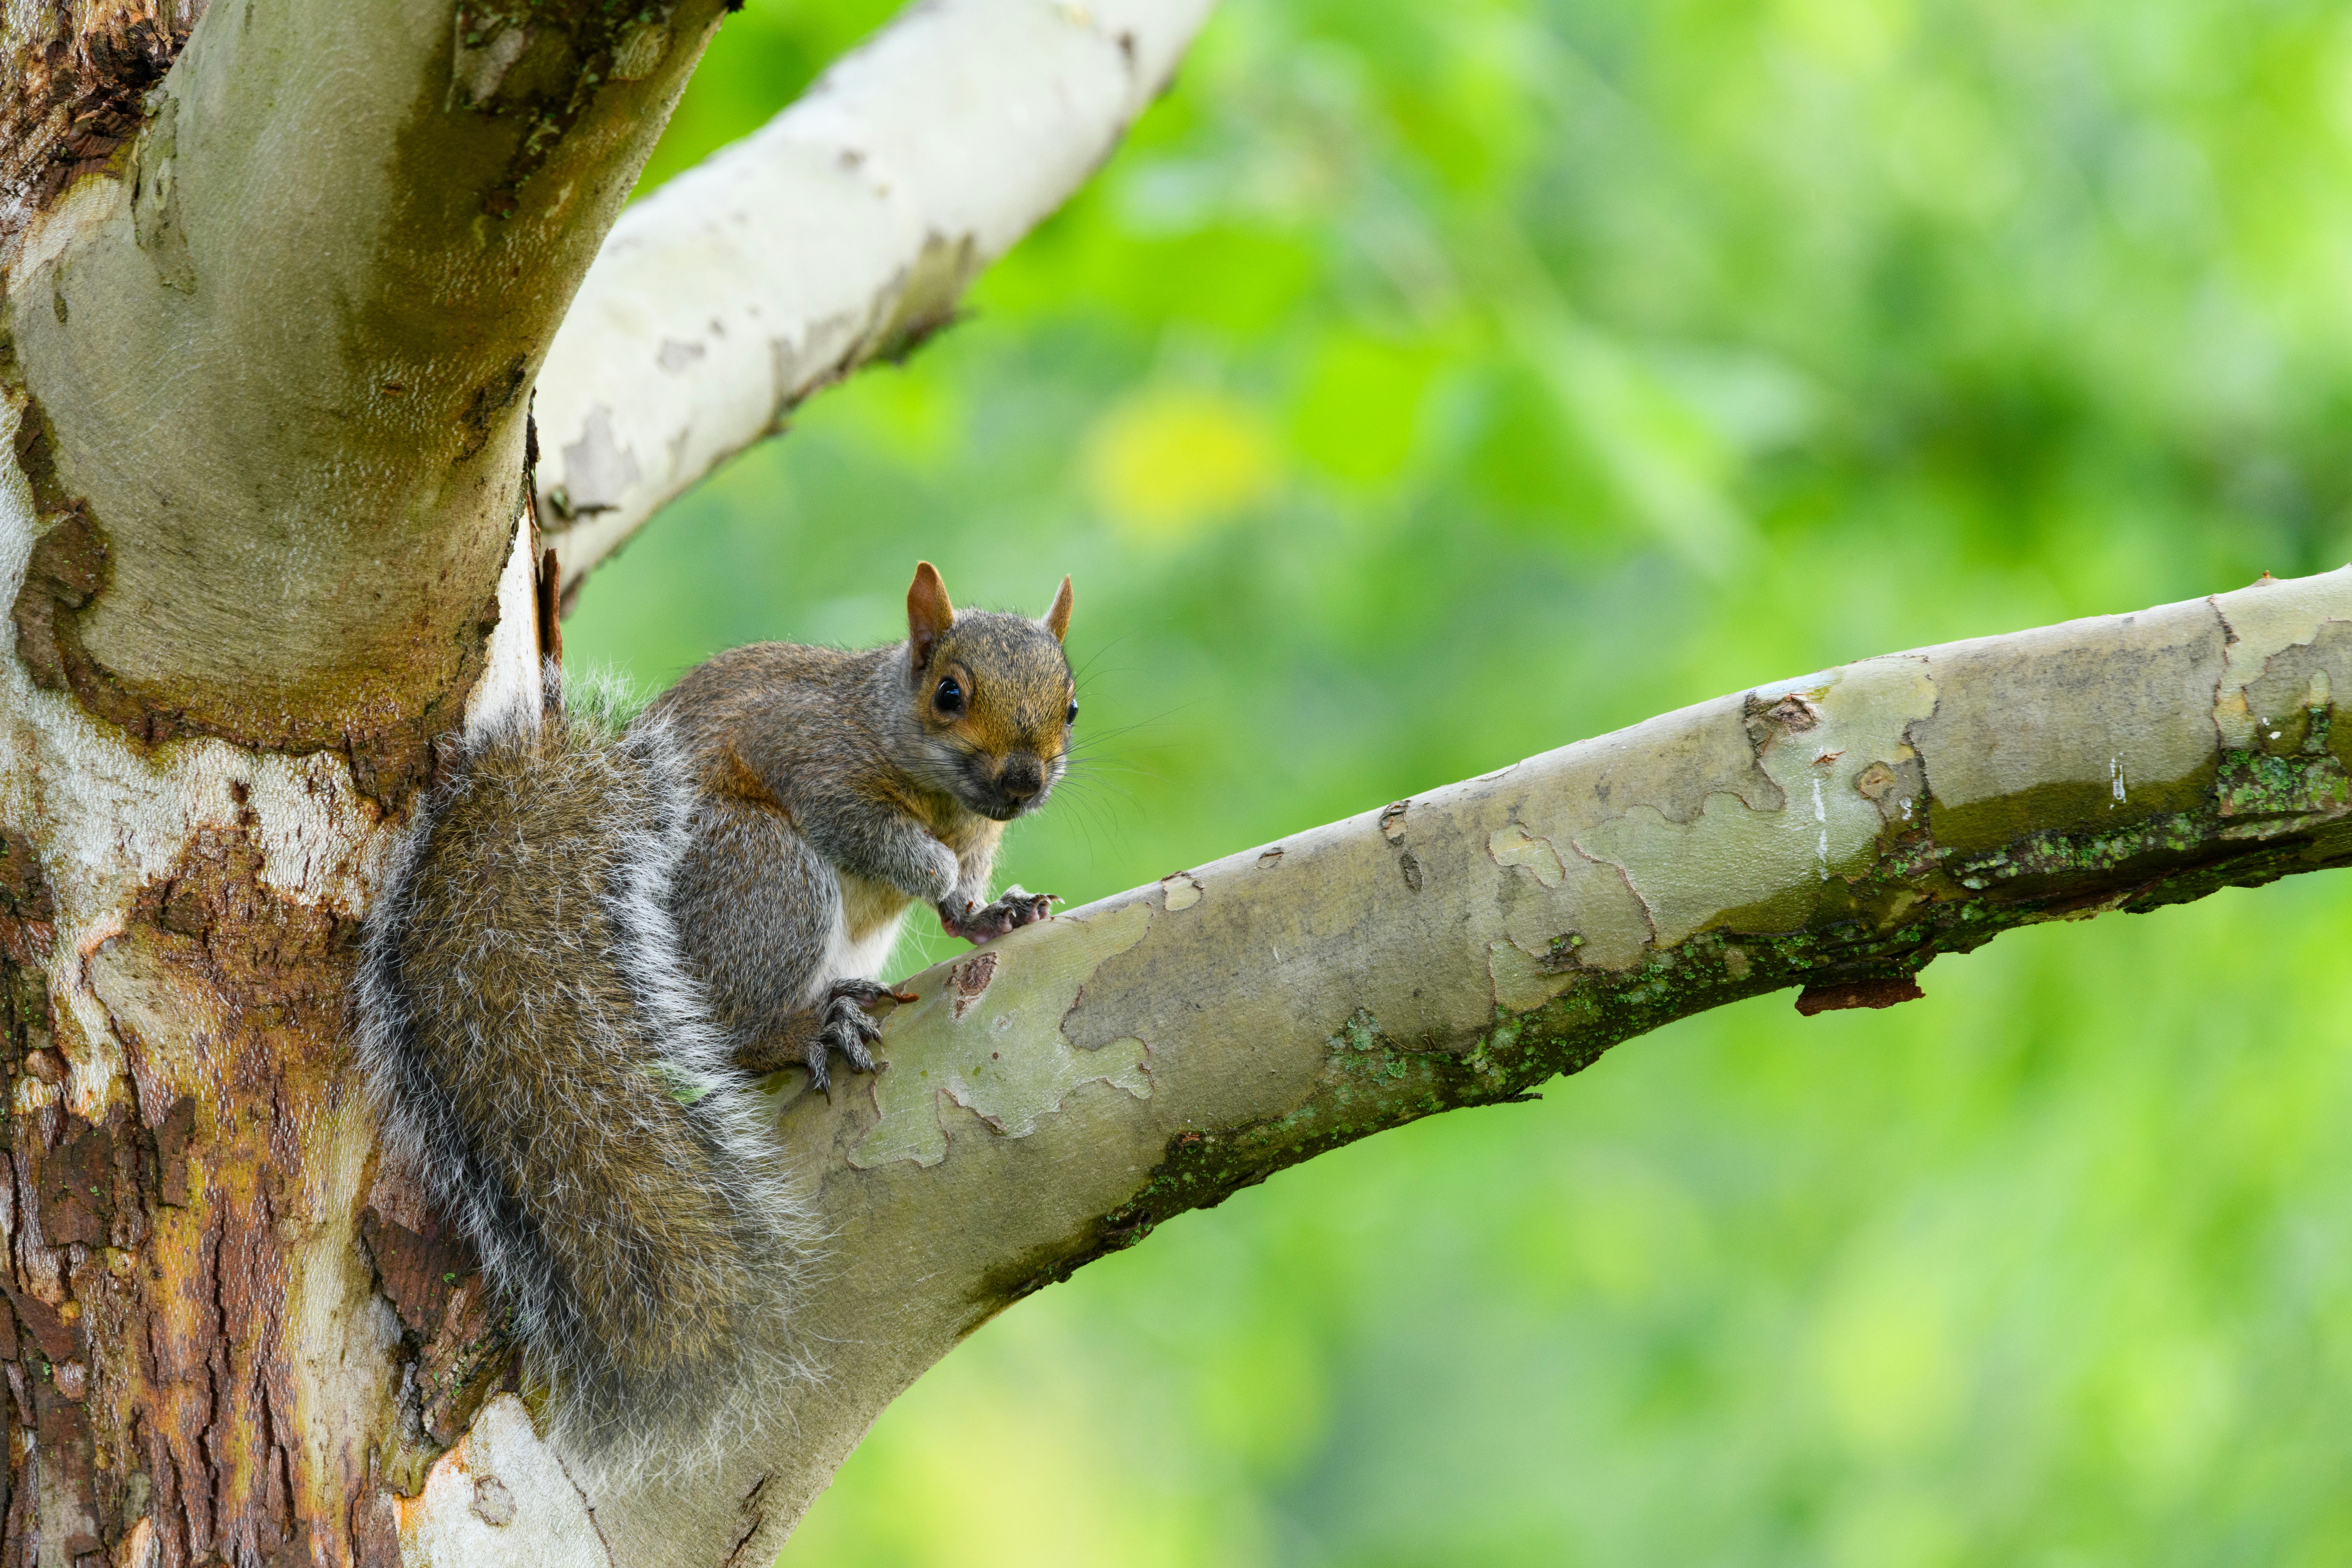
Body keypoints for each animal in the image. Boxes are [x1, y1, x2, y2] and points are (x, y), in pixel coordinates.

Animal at [352, 561, 1076, 1482]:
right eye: (950, 693)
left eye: (1071, 706)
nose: (1023, 781)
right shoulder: (811, 758)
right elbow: (877, 835)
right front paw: (935, 871)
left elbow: (967, 892)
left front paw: (988, 911)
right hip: (762, 873)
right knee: (741, 1023)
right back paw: (806, 1027)